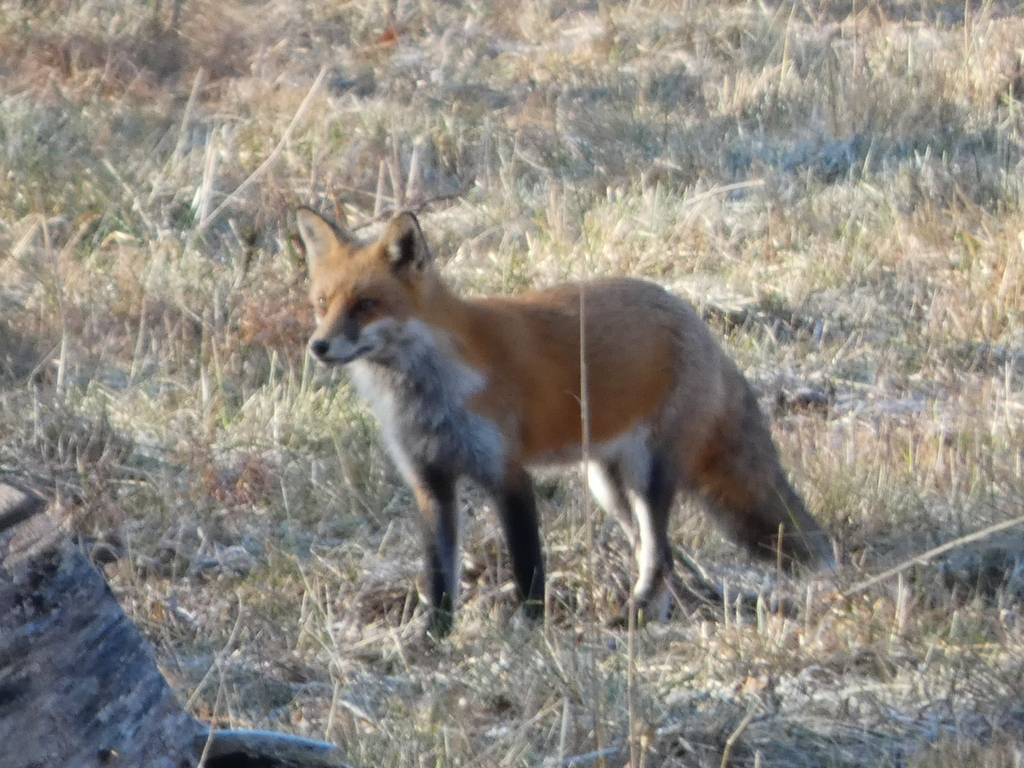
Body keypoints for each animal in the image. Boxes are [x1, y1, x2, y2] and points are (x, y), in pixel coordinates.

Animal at [294, 206, 833, 636]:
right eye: (321, 303)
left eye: (366, 305)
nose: (318, 346)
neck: (426, 389)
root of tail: (694, 318)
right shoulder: (431, 484)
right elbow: (438, 577)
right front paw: (433, 639)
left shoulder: (508, 474)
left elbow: (528, 564)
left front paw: (531, 630)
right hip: (608, 487)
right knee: (659, 555)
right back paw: (652, 616)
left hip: (647, 476)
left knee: (659, 555)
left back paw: (633, 616)